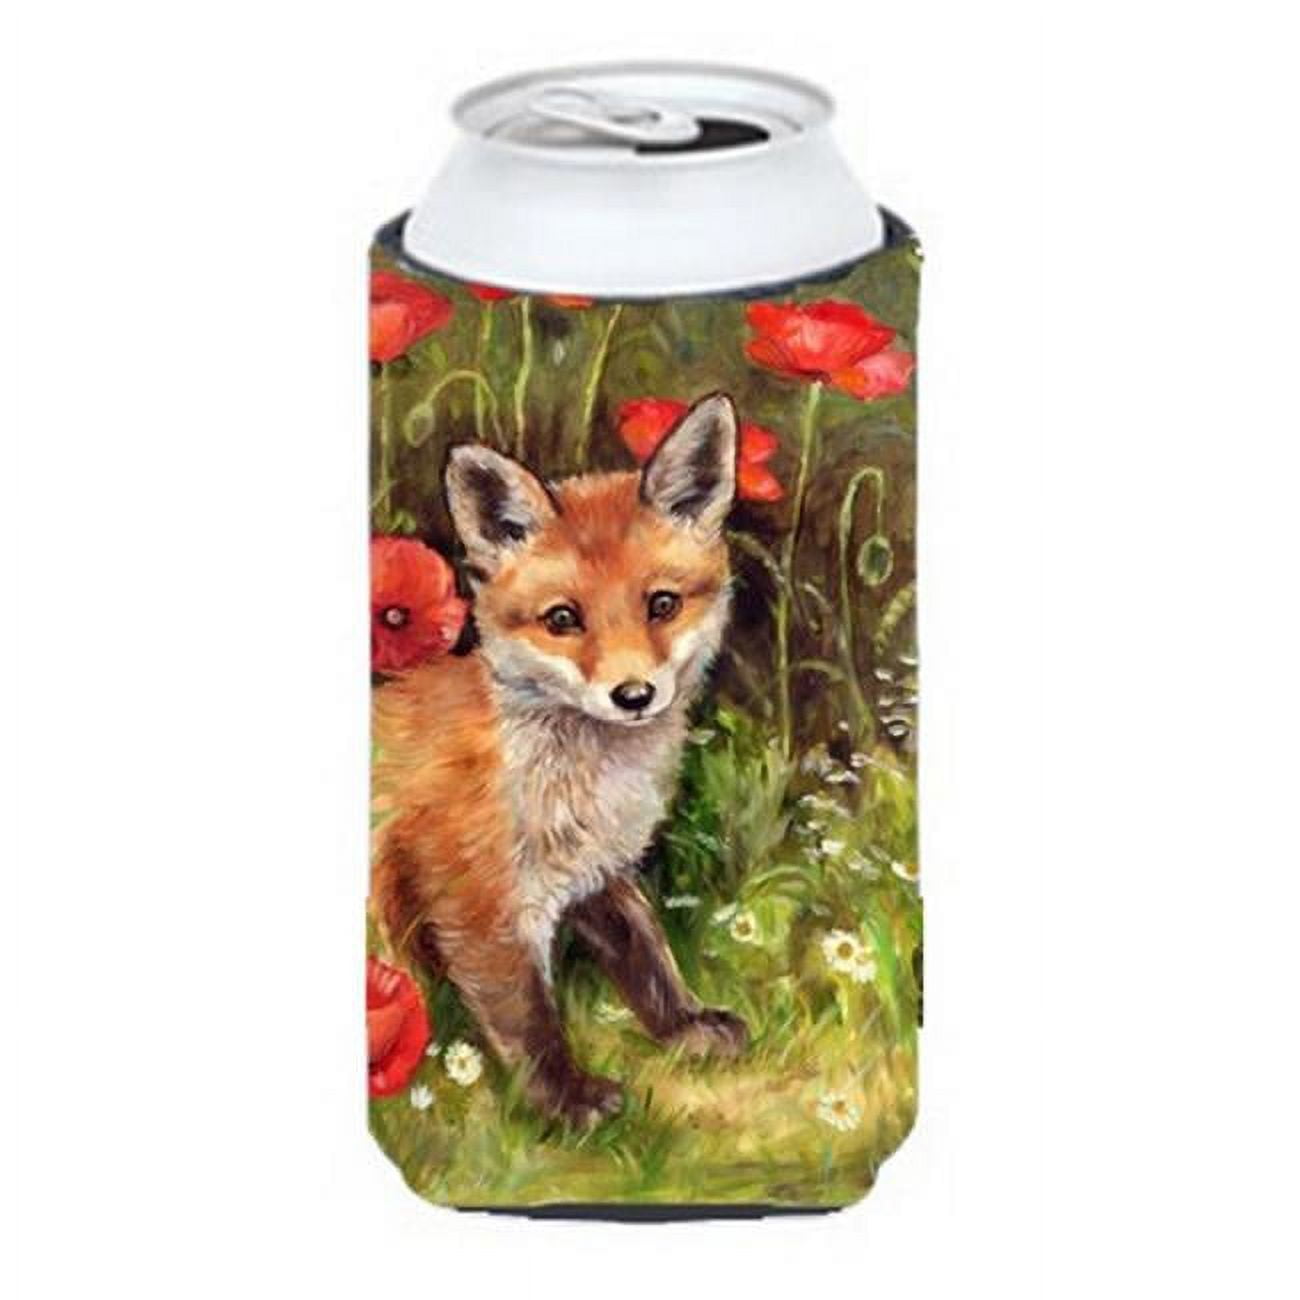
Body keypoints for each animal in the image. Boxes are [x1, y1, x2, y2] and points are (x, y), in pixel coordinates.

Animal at [372, 393, 750, 1126]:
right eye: (562, 619)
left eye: (662, 604)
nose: (633, 695)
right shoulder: (475, 902)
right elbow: (529, 1018)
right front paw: (568, 1103)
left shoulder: (596, 870)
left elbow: (646, 955)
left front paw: (685, 1026)